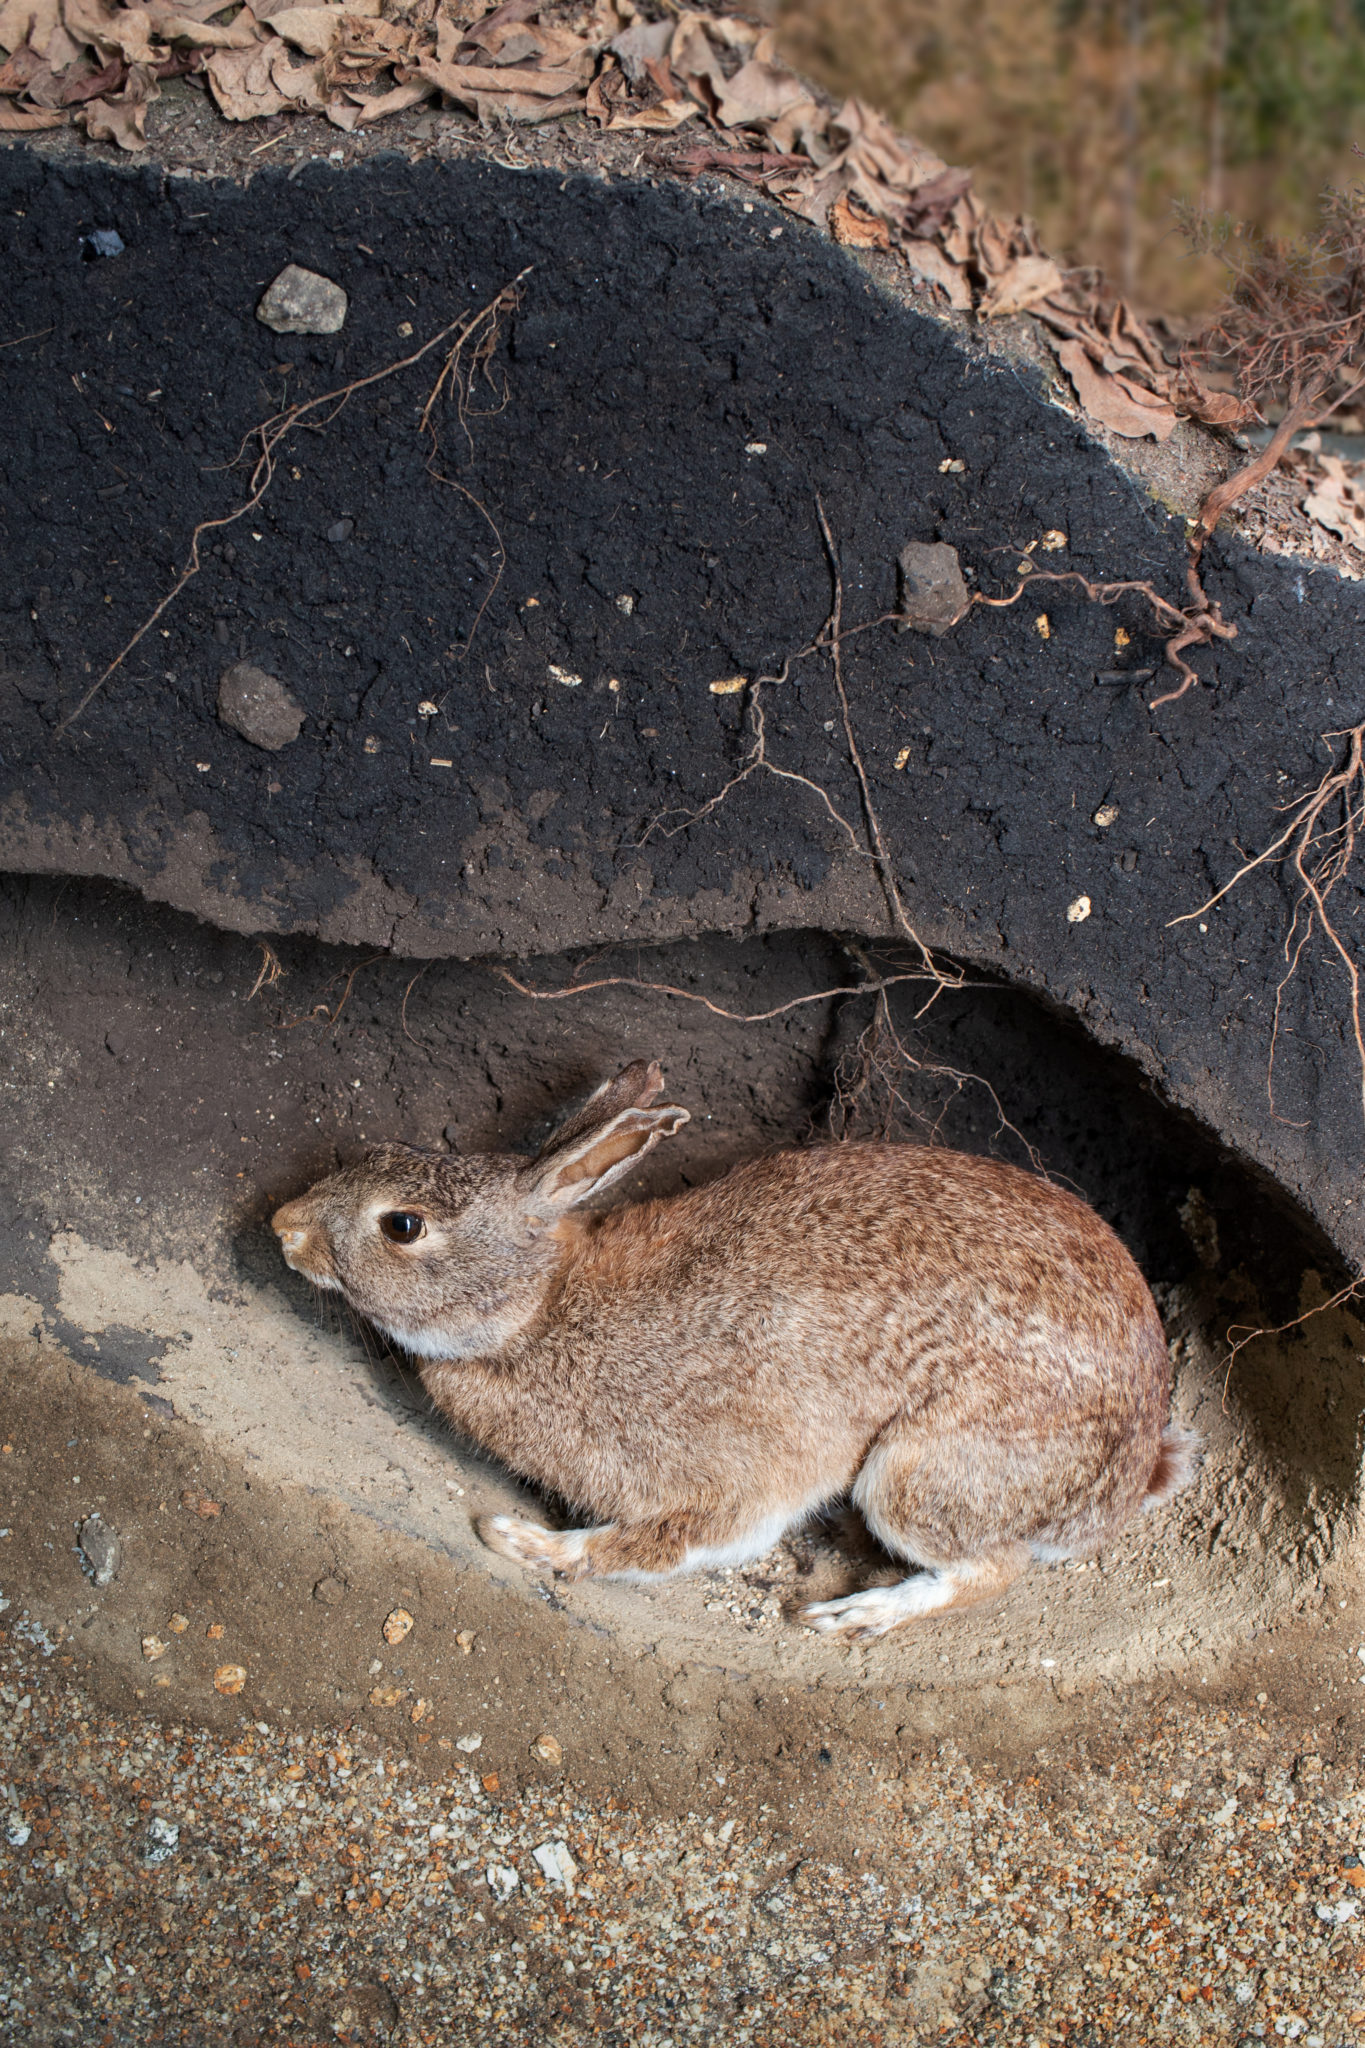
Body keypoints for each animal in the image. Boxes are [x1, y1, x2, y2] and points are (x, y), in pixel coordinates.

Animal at [271, 1058, 1198, 1639]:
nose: (283, 1228)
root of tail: (1129, 1473)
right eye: (381, 1153)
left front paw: (527, 1543)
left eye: (402, 1226)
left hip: (920, 1473)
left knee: (989, 1568)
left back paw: (856, 1615)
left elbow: (663, 1544)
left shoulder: (730, 1484)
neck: (536, 1311)